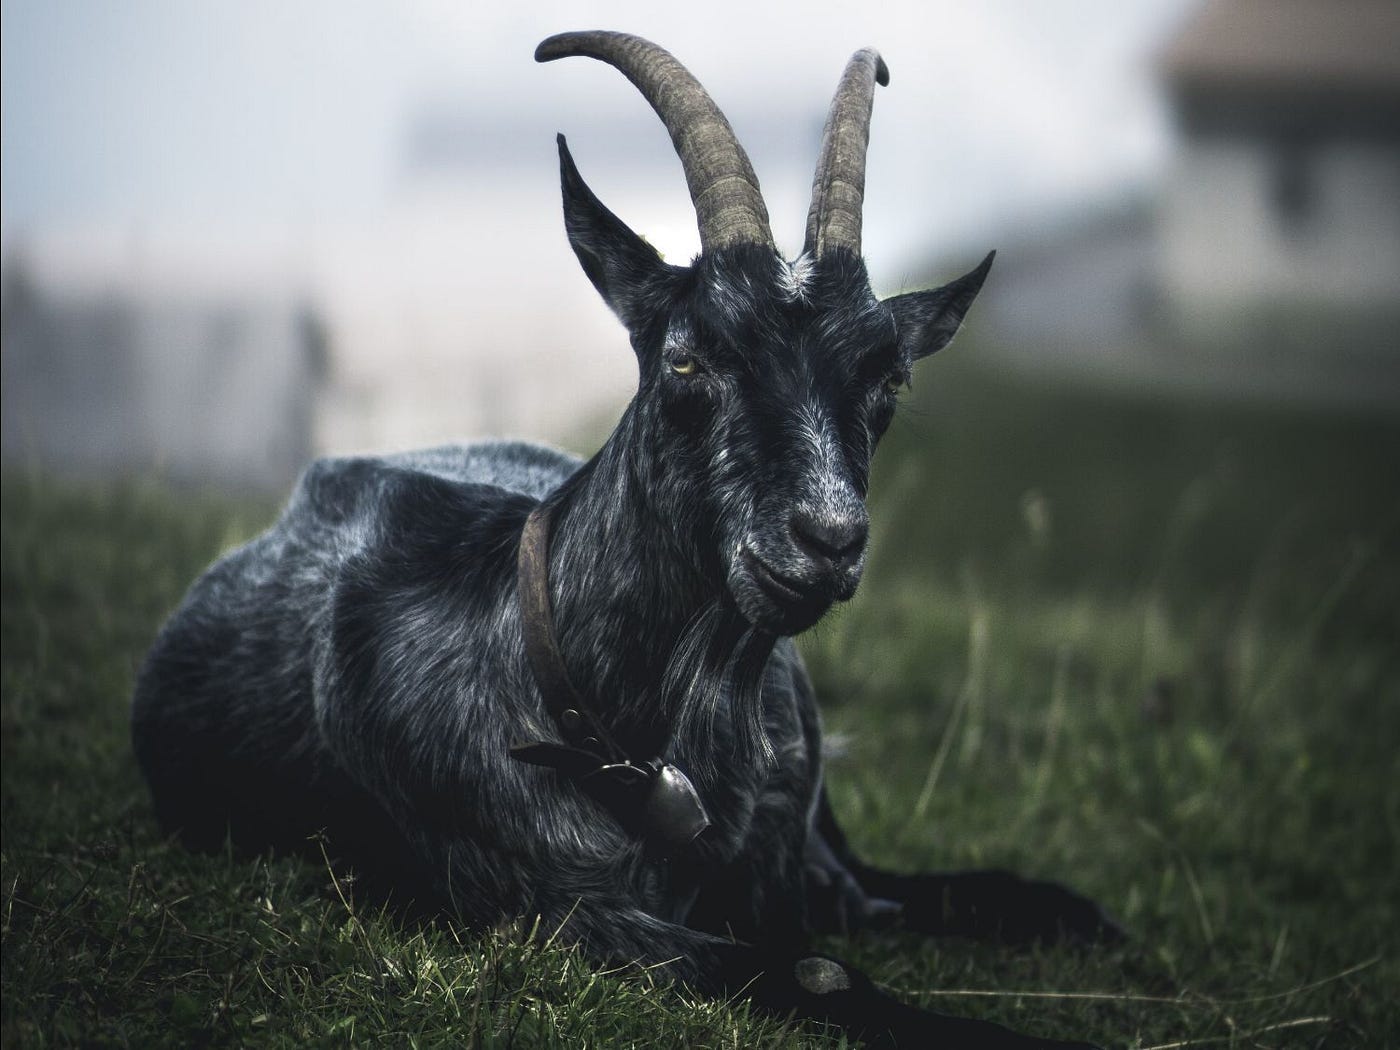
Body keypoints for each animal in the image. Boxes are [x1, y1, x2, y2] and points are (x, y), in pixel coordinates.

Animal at [132, 31, 1120, 1048]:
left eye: (889, 377)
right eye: (686, 357)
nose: (827, 539)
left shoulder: (778, 869)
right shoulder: (552, 912)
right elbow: (818, 971)